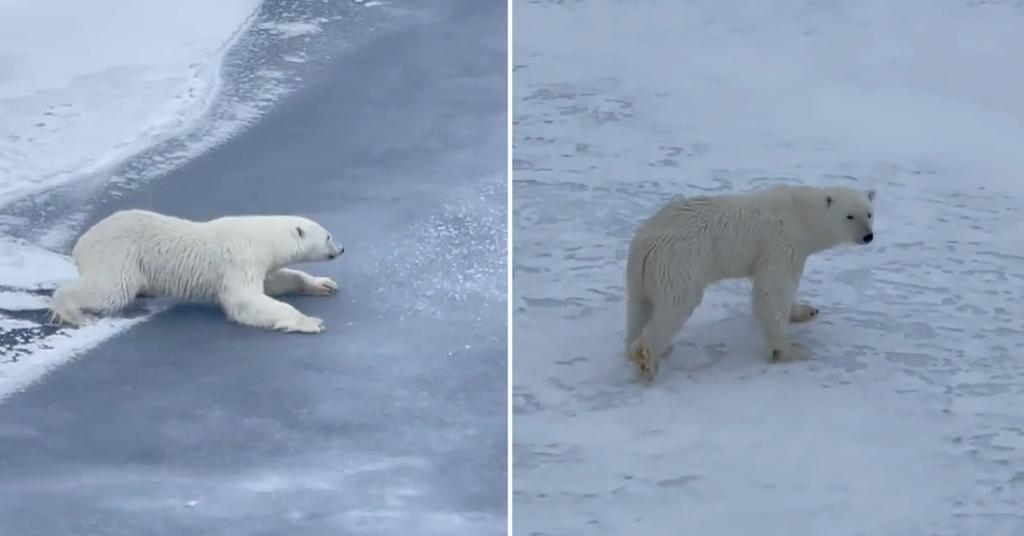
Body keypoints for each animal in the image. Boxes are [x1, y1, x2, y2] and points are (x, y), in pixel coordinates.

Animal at [50, 209, 344, 333]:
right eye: (328, 235)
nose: (341, 249)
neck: (261, 237)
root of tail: (80, 244)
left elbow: (275, 281)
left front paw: (323, 284)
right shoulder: (240, 259)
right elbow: (245, 300)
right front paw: (311, 322)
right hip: (118, 255)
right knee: (109, 291)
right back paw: (77, 315)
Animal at [625, 184, 875, 382]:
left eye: (870, 213)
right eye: (849, 216)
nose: (868, 236)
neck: (801, 214)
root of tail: (644, 245)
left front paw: (804, 311)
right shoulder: (781, 244)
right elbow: (773, 291)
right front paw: (789, 350)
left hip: (643, 276)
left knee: (639, 309)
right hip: (679, 263)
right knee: (676, 305)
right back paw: (646, 361)